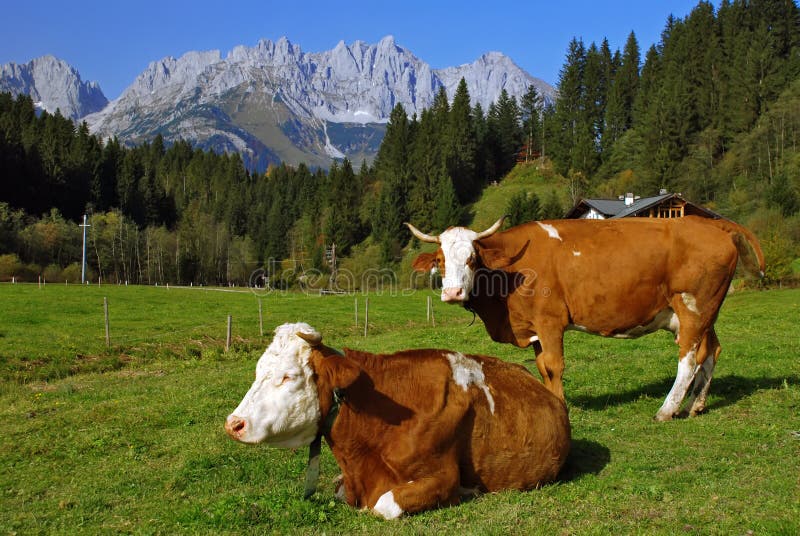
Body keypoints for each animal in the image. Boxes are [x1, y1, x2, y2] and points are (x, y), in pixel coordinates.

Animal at [407, 215, 765, 421]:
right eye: (439, 260)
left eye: (472, 258)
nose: (452, 293)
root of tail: (709, 223)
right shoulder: (535, 328)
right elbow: (542, 368)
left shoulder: (550, 322)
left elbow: (554, 366)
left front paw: (561, 409)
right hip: (705, 311)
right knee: (711, 351)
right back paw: (696, 405)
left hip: (692, 308)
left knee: (689, 359)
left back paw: (667, 410)